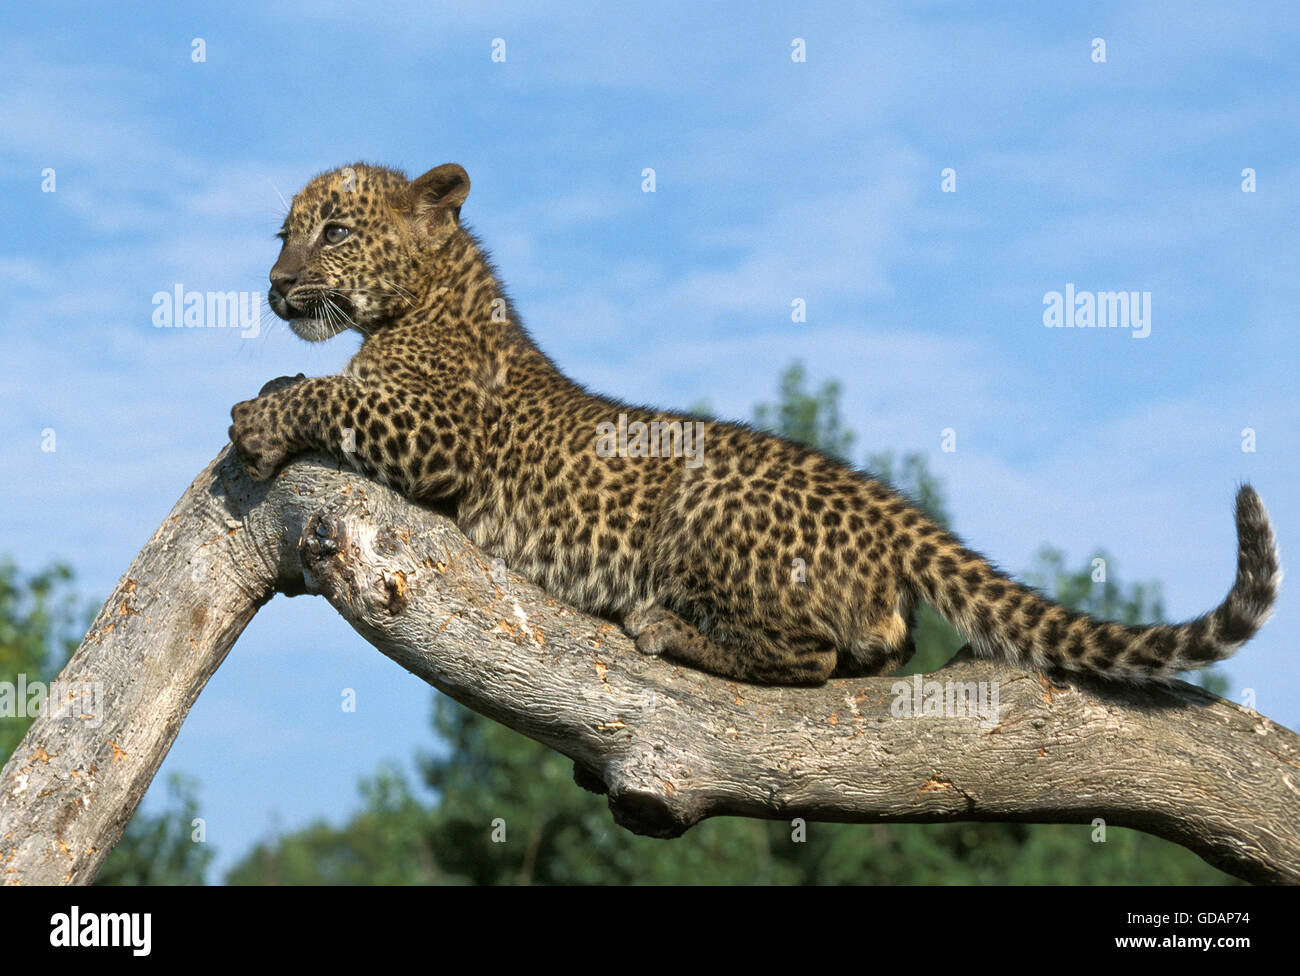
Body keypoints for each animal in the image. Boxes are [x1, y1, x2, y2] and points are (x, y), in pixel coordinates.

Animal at [229, 161, 1282, 686]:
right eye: (280, 232)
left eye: (332, 230)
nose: (274, 284)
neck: (426, 298)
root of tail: (890, 508)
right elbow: (323, 381)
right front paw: (270, 384)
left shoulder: (439, 431)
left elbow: (337, 395)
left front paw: (260, 416)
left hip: (704, 512)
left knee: (810, 658)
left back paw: (665, 627)